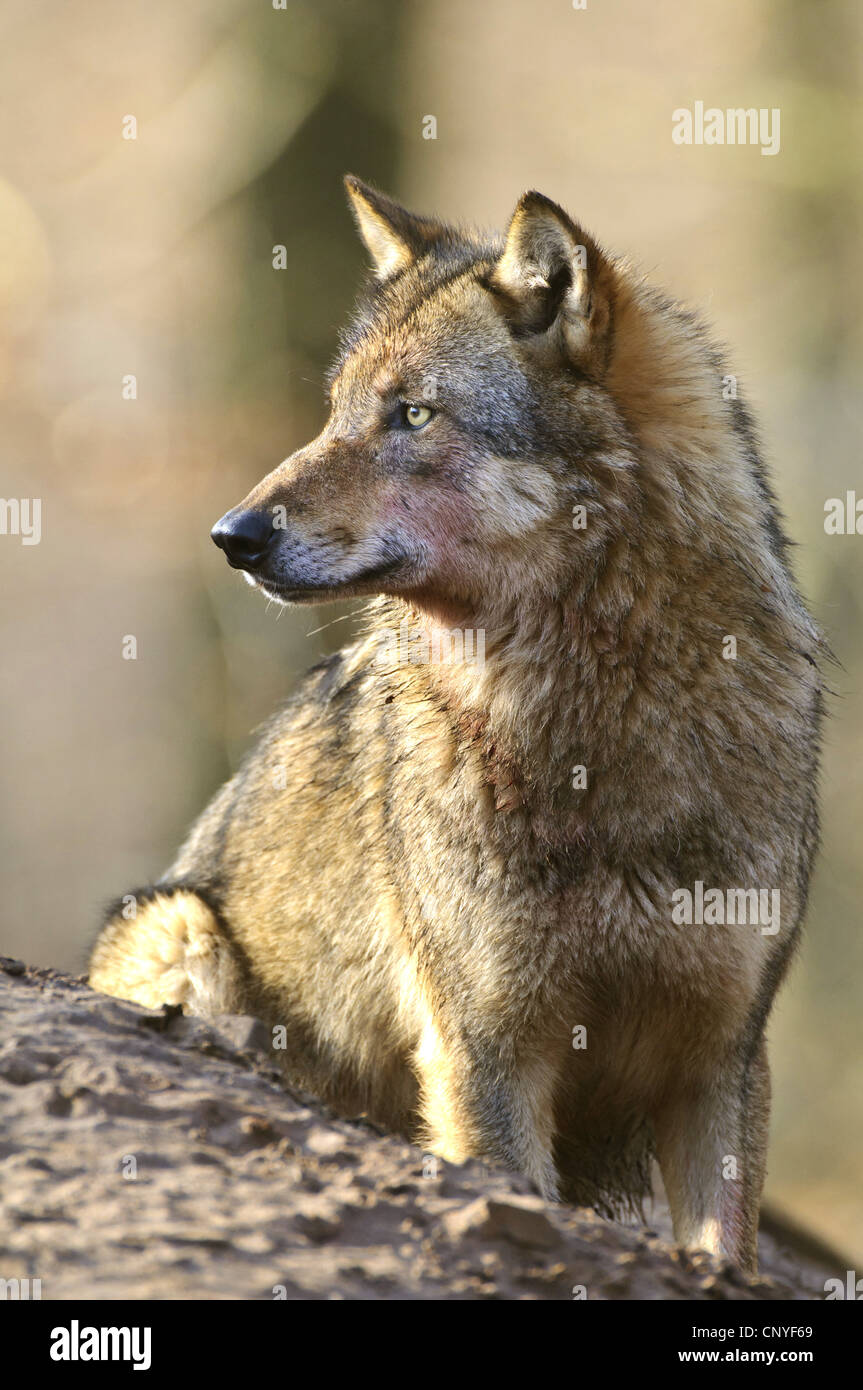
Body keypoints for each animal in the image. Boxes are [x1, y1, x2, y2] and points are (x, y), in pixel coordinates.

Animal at [90, 176, 823, 1271]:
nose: (231, 535)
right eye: (336, 414)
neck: (591, 724)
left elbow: (719, 1247)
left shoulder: (720, 1057)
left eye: (413, 413)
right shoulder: (485, 1045)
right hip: (177, 926)